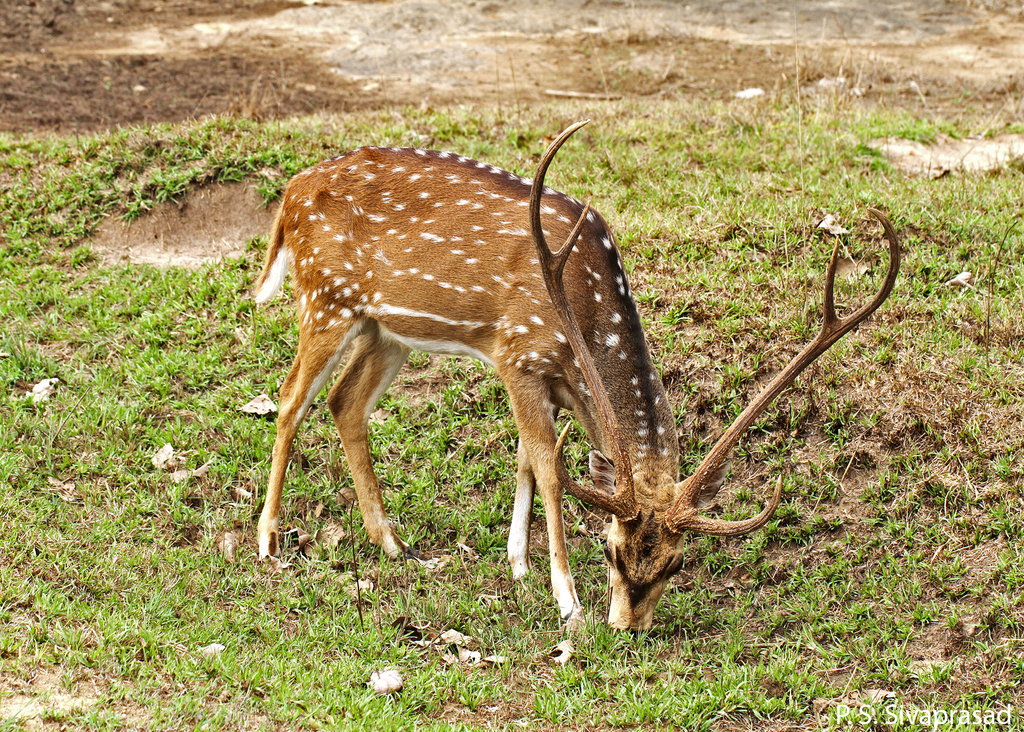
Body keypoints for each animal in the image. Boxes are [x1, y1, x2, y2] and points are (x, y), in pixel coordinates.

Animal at [252, 120, 900, 630]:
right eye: (611, 551)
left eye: (676, 563)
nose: (627, 627)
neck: (585, 319)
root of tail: (290, 193)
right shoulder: (515, 352)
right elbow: (549, 466)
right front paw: (567, 600)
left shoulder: (553, 384)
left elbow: (524, 457)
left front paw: (518, 563)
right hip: (324, 299)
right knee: (289, 399)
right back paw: (268, 539)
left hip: (382, 328)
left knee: (344, 402)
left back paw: (393, 544)